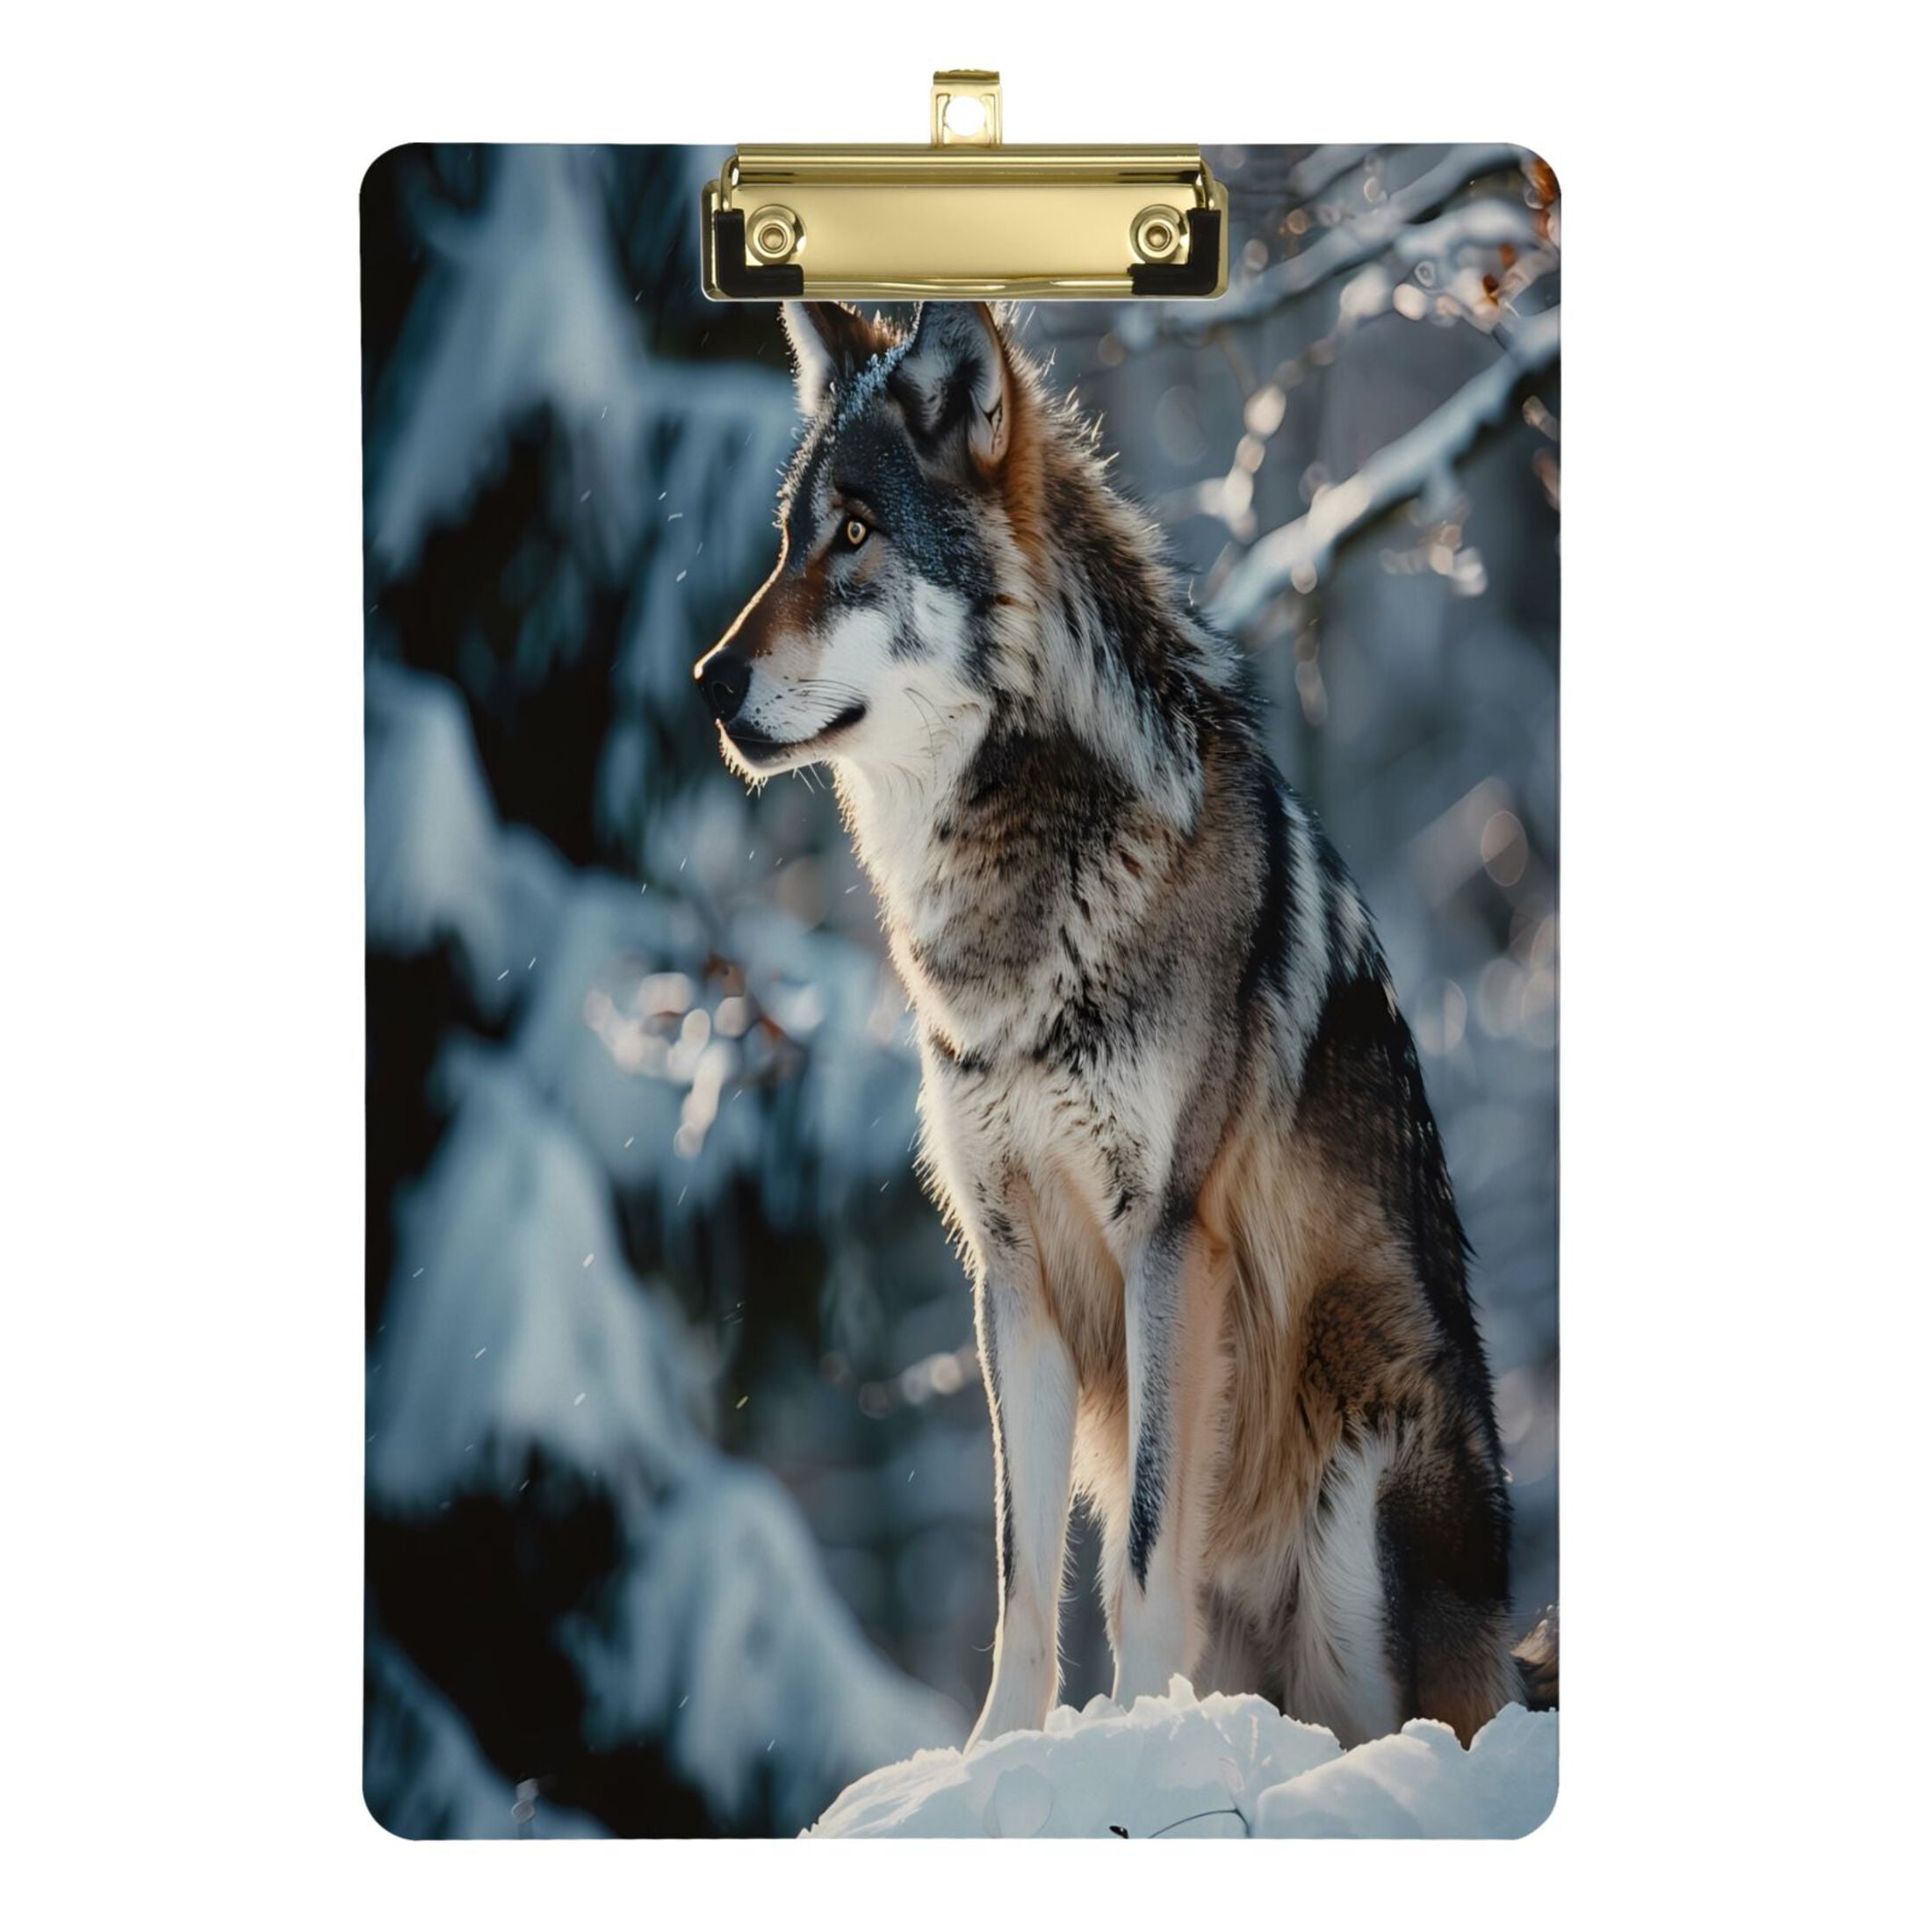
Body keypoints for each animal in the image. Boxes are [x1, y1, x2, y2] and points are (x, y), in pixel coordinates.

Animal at [696, 300, 1548, 1749]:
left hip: (1357, 1450)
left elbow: (1145, 1545)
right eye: (787, 540)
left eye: (855, 533)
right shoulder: (1011, 1267)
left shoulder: (1168, 1240)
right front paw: (998, 1756)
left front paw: (1145, 1724)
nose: (707, 681)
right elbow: (1023, 1567)